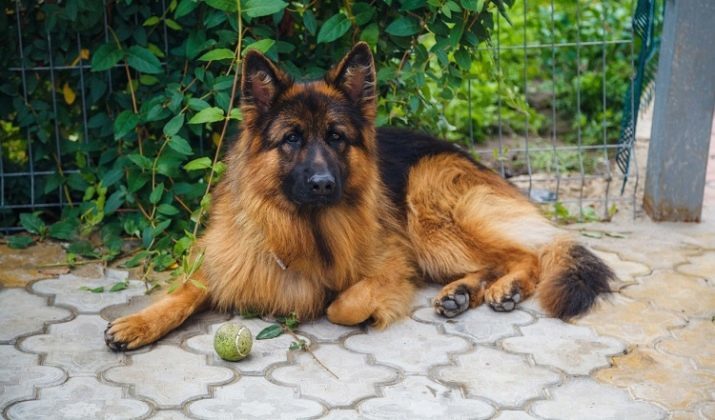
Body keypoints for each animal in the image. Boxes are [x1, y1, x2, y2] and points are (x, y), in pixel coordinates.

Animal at [103, 42, 612, 352]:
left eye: (336, 137)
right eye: (291, 139)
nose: (324, 184)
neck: (302, 228)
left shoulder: (391, 263)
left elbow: (340, 304)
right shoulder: (226, 258)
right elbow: (186, 290)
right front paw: (139, 322)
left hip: (429, 211)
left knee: (529, 253)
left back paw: (505, 287)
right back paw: (462, 292)